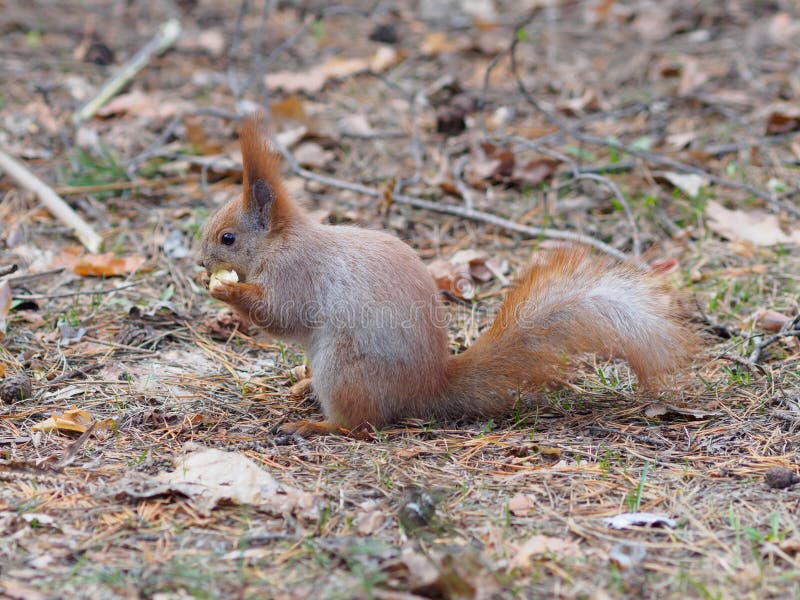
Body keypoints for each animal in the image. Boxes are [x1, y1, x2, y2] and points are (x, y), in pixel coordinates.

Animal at [199, 114, 697, 437]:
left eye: (227, 238)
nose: (202, 264)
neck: (280, 243)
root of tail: (429, 387)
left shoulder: (297, 273)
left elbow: (282, 314)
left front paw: (228, 293)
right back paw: (303, 389)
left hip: (344, 368)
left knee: (362, 424)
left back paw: (317, 425)